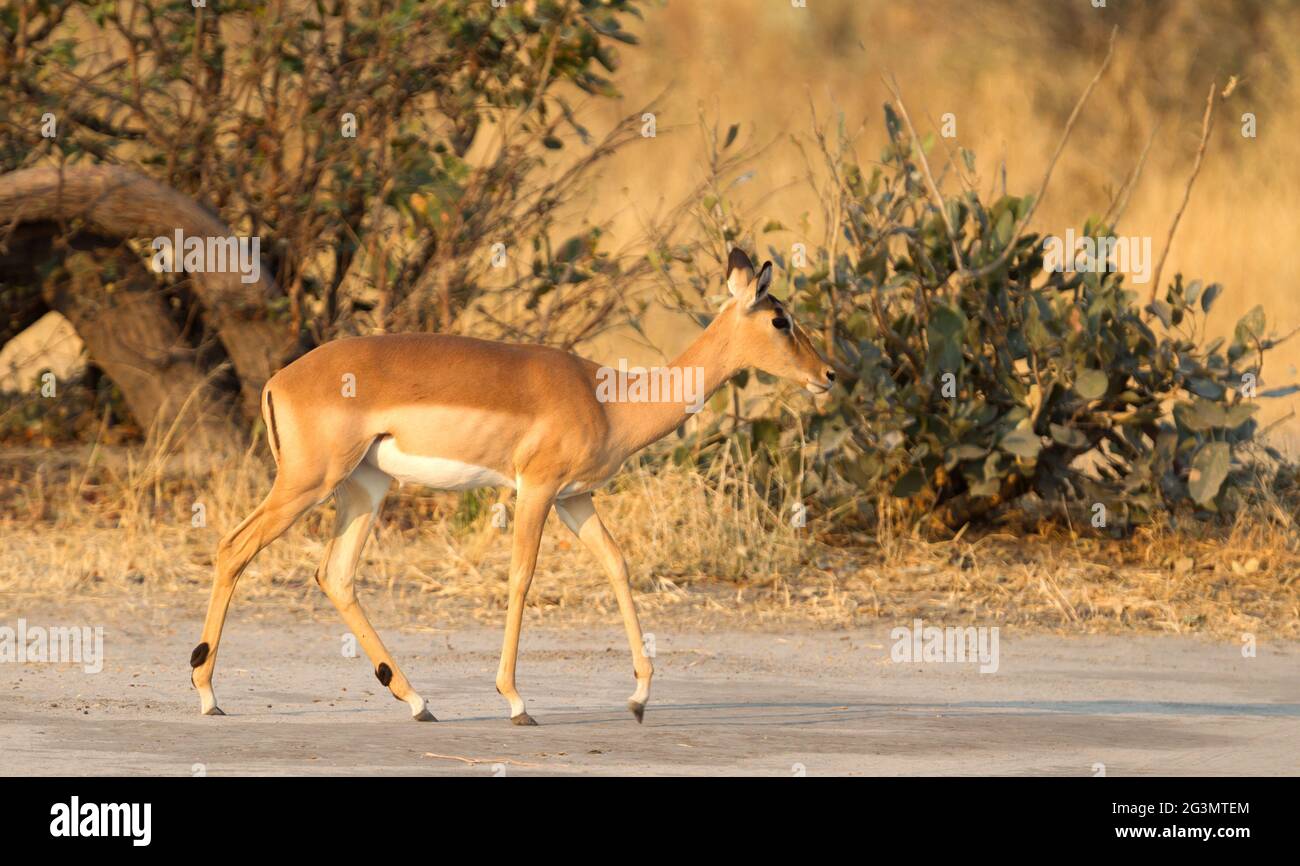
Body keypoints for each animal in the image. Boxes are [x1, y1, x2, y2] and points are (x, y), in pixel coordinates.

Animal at [189, 248, 835, 725]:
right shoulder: (538, 488)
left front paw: (639, 698)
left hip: (365, 488)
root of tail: (277, 380)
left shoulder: (577, 497)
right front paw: (517, 701)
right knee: (233, 547)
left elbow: (617, 564)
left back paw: (418, 701)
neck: (611, 400)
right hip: (308, 483)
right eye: (780, 319)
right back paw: (208, 694)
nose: (828, 374)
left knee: (335, 574)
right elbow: (522, 576)